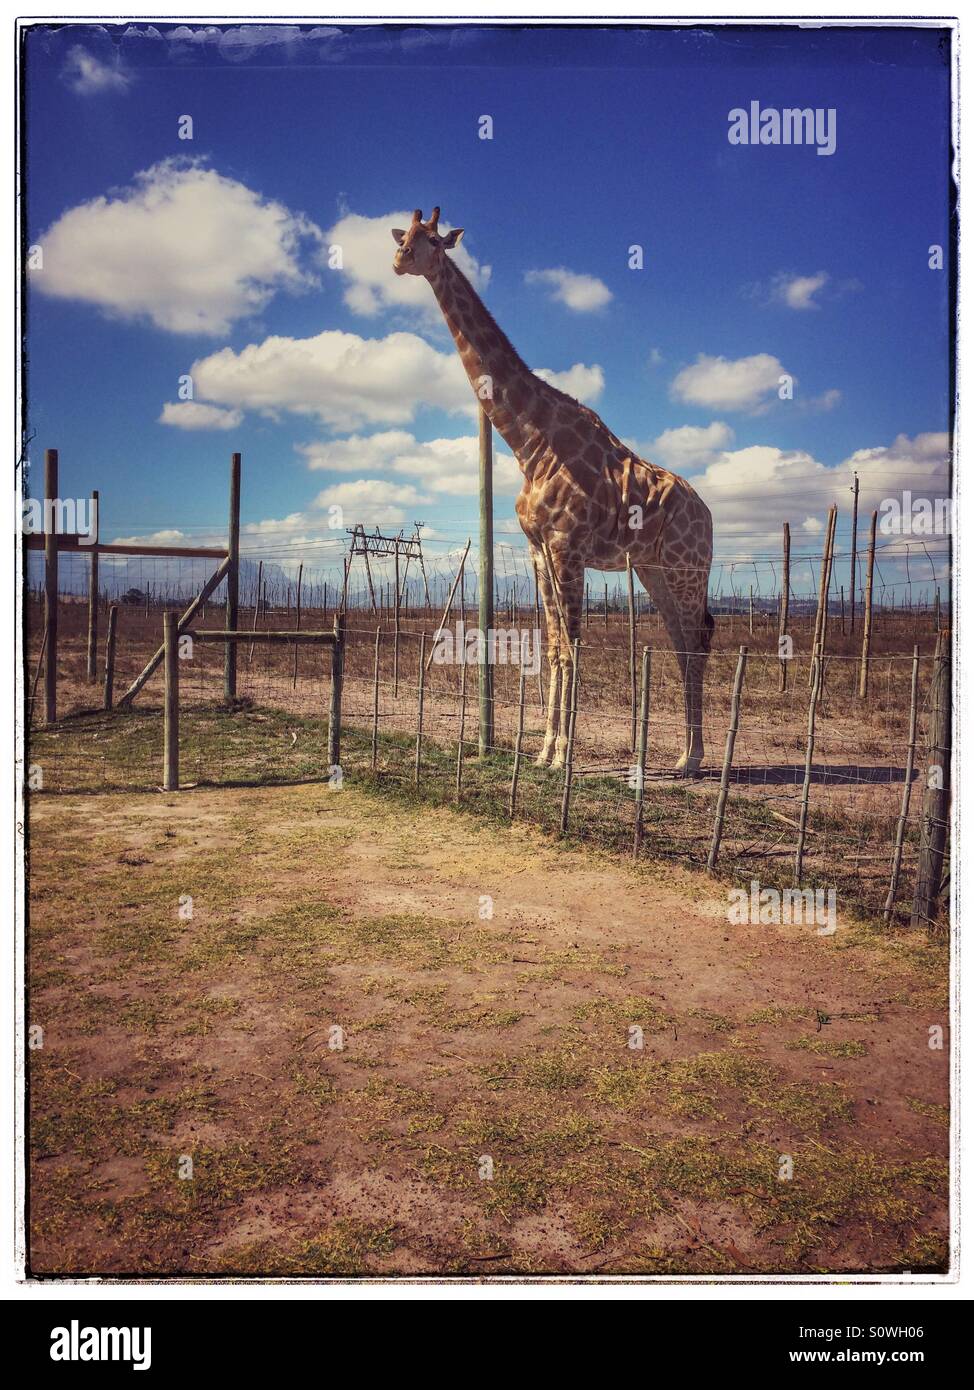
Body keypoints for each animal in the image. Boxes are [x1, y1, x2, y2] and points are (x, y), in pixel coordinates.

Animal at [393, 208, 714, 773]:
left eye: (432, 239)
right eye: (404, 234)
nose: (398, 258)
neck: (530, 444)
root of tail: (711, 515)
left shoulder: (568, 547)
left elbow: (573, 645)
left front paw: (563, 754)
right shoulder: (539, 550)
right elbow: (552, 647)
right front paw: (543, 750)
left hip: (686, 567)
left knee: (696, 644)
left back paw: (695, 759)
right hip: (654, 570)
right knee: (681, 644)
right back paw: (682, 755)